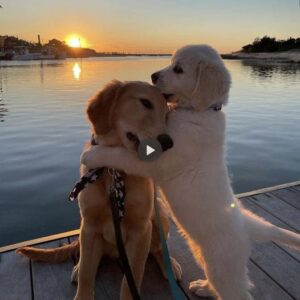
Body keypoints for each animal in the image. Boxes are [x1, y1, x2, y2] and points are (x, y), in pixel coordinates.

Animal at [17, 80, 182, 300]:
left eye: (167, 114)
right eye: (145, 103)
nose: (168, 143)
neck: (114, 170)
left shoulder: (141, 230)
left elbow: (131, 279)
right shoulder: (90, 225)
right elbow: (87, 272)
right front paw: (82, 287)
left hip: (160, 215)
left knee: (158, 248)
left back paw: (169, 264)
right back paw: (77, 267)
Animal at [81, 45, 300, 300]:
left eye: (178, 69)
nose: (153, 76)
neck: (200, 112)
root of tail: (247, 226)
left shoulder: (159, 160)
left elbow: (119, 156)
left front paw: (91, 155)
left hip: (222, 266)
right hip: (202, 253)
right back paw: (203, 287)